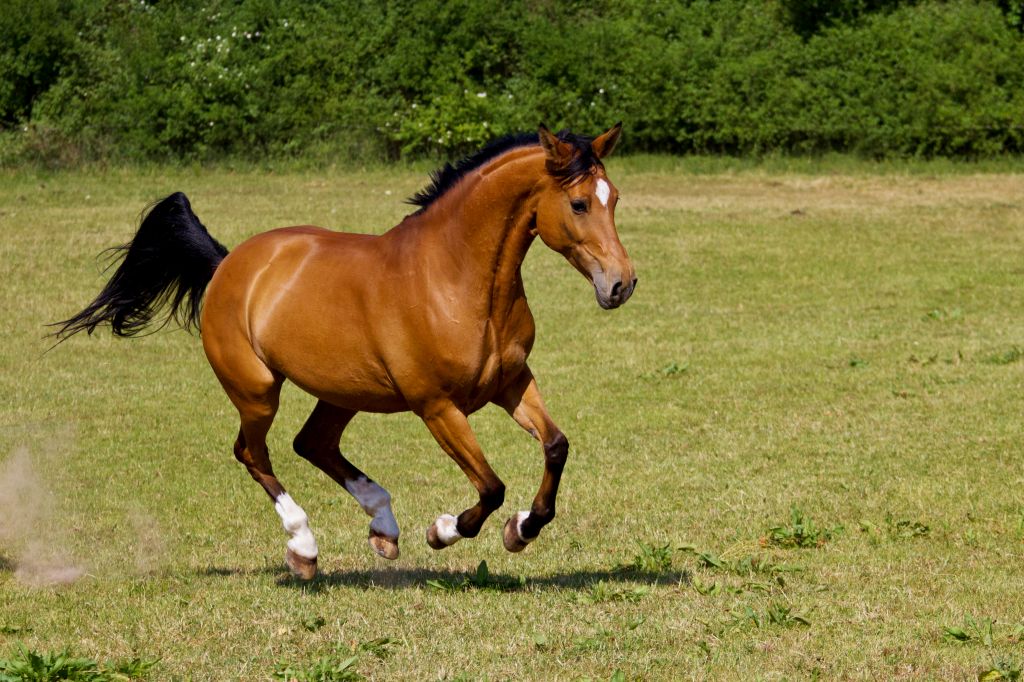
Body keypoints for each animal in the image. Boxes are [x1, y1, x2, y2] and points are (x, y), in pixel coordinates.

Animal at [52, 123, 637, 580]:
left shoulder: (511, 383)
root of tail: (227, 264)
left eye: (614, 198)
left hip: (342, 391)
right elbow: (490, 487)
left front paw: (521, 529)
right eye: (579, 203)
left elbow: (556, 447)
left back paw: (384, 528)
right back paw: (304, 547)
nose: (621, 285)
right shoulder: (437, 407)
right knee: (253, 452)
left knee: (313, 444)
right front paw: (443, 530)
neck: (455, 277)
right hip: (258, 390)